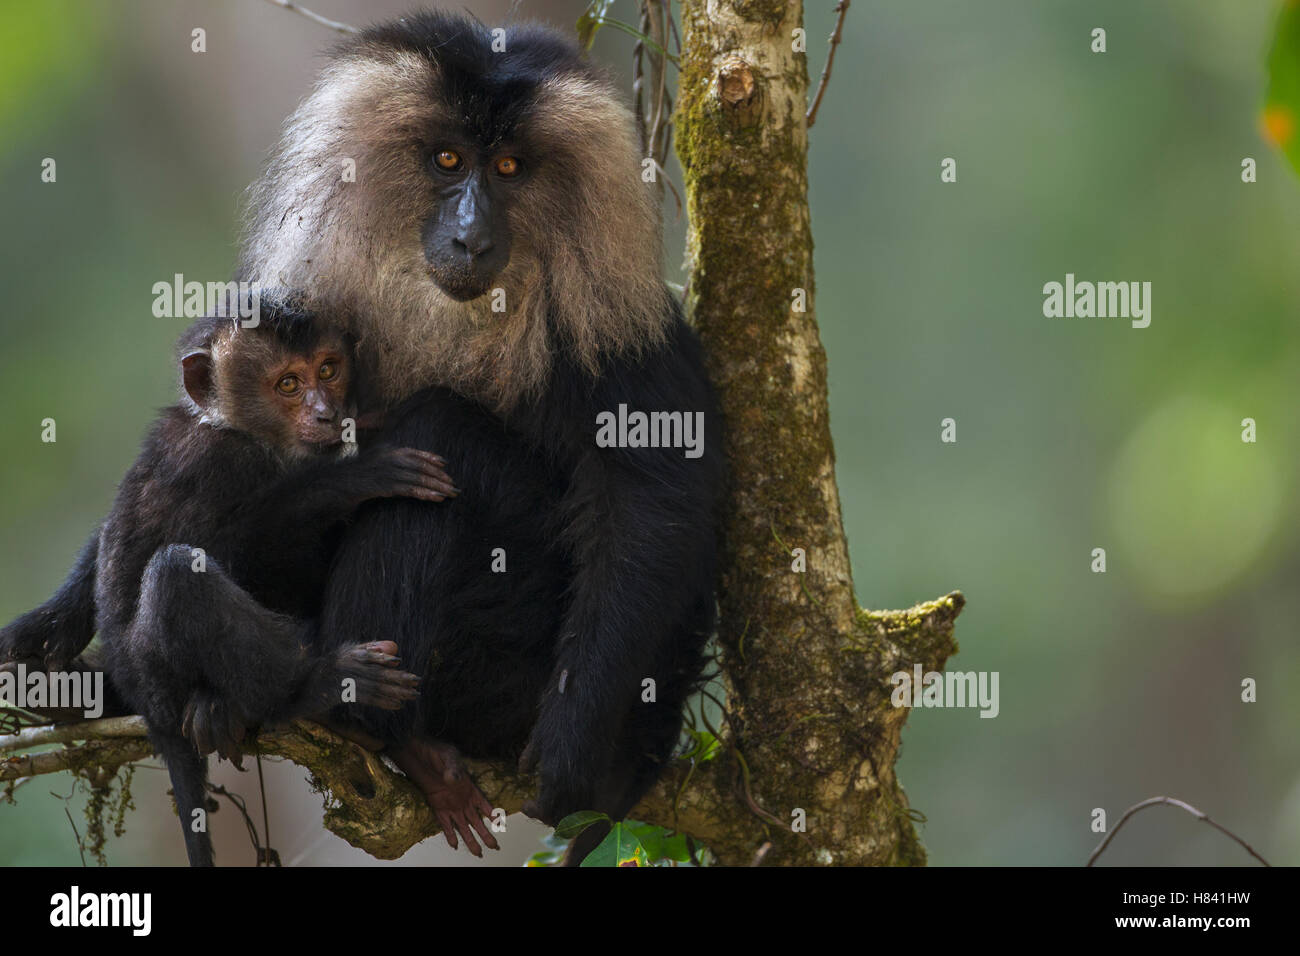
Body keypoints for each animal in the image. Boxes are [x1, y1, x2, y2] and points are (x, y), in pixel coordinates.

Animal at [0, 301, 479, 866]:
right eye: (288, 384)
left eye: (328, 370)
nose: (326, 413)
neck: (236, 429)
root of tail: (148, 704)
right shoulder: (219, 463)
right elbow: (228, 549)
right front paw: (354, 475)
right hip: (160, 672)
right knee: (178, 573)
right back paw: (316, 687)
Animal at [237, 12, 725, 862]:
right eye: (447, 160)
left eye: (508, 167)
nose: (469, 235)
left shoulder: (611, 316)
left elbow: (655, 504)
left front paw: (571, 743)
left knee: (442, 433)